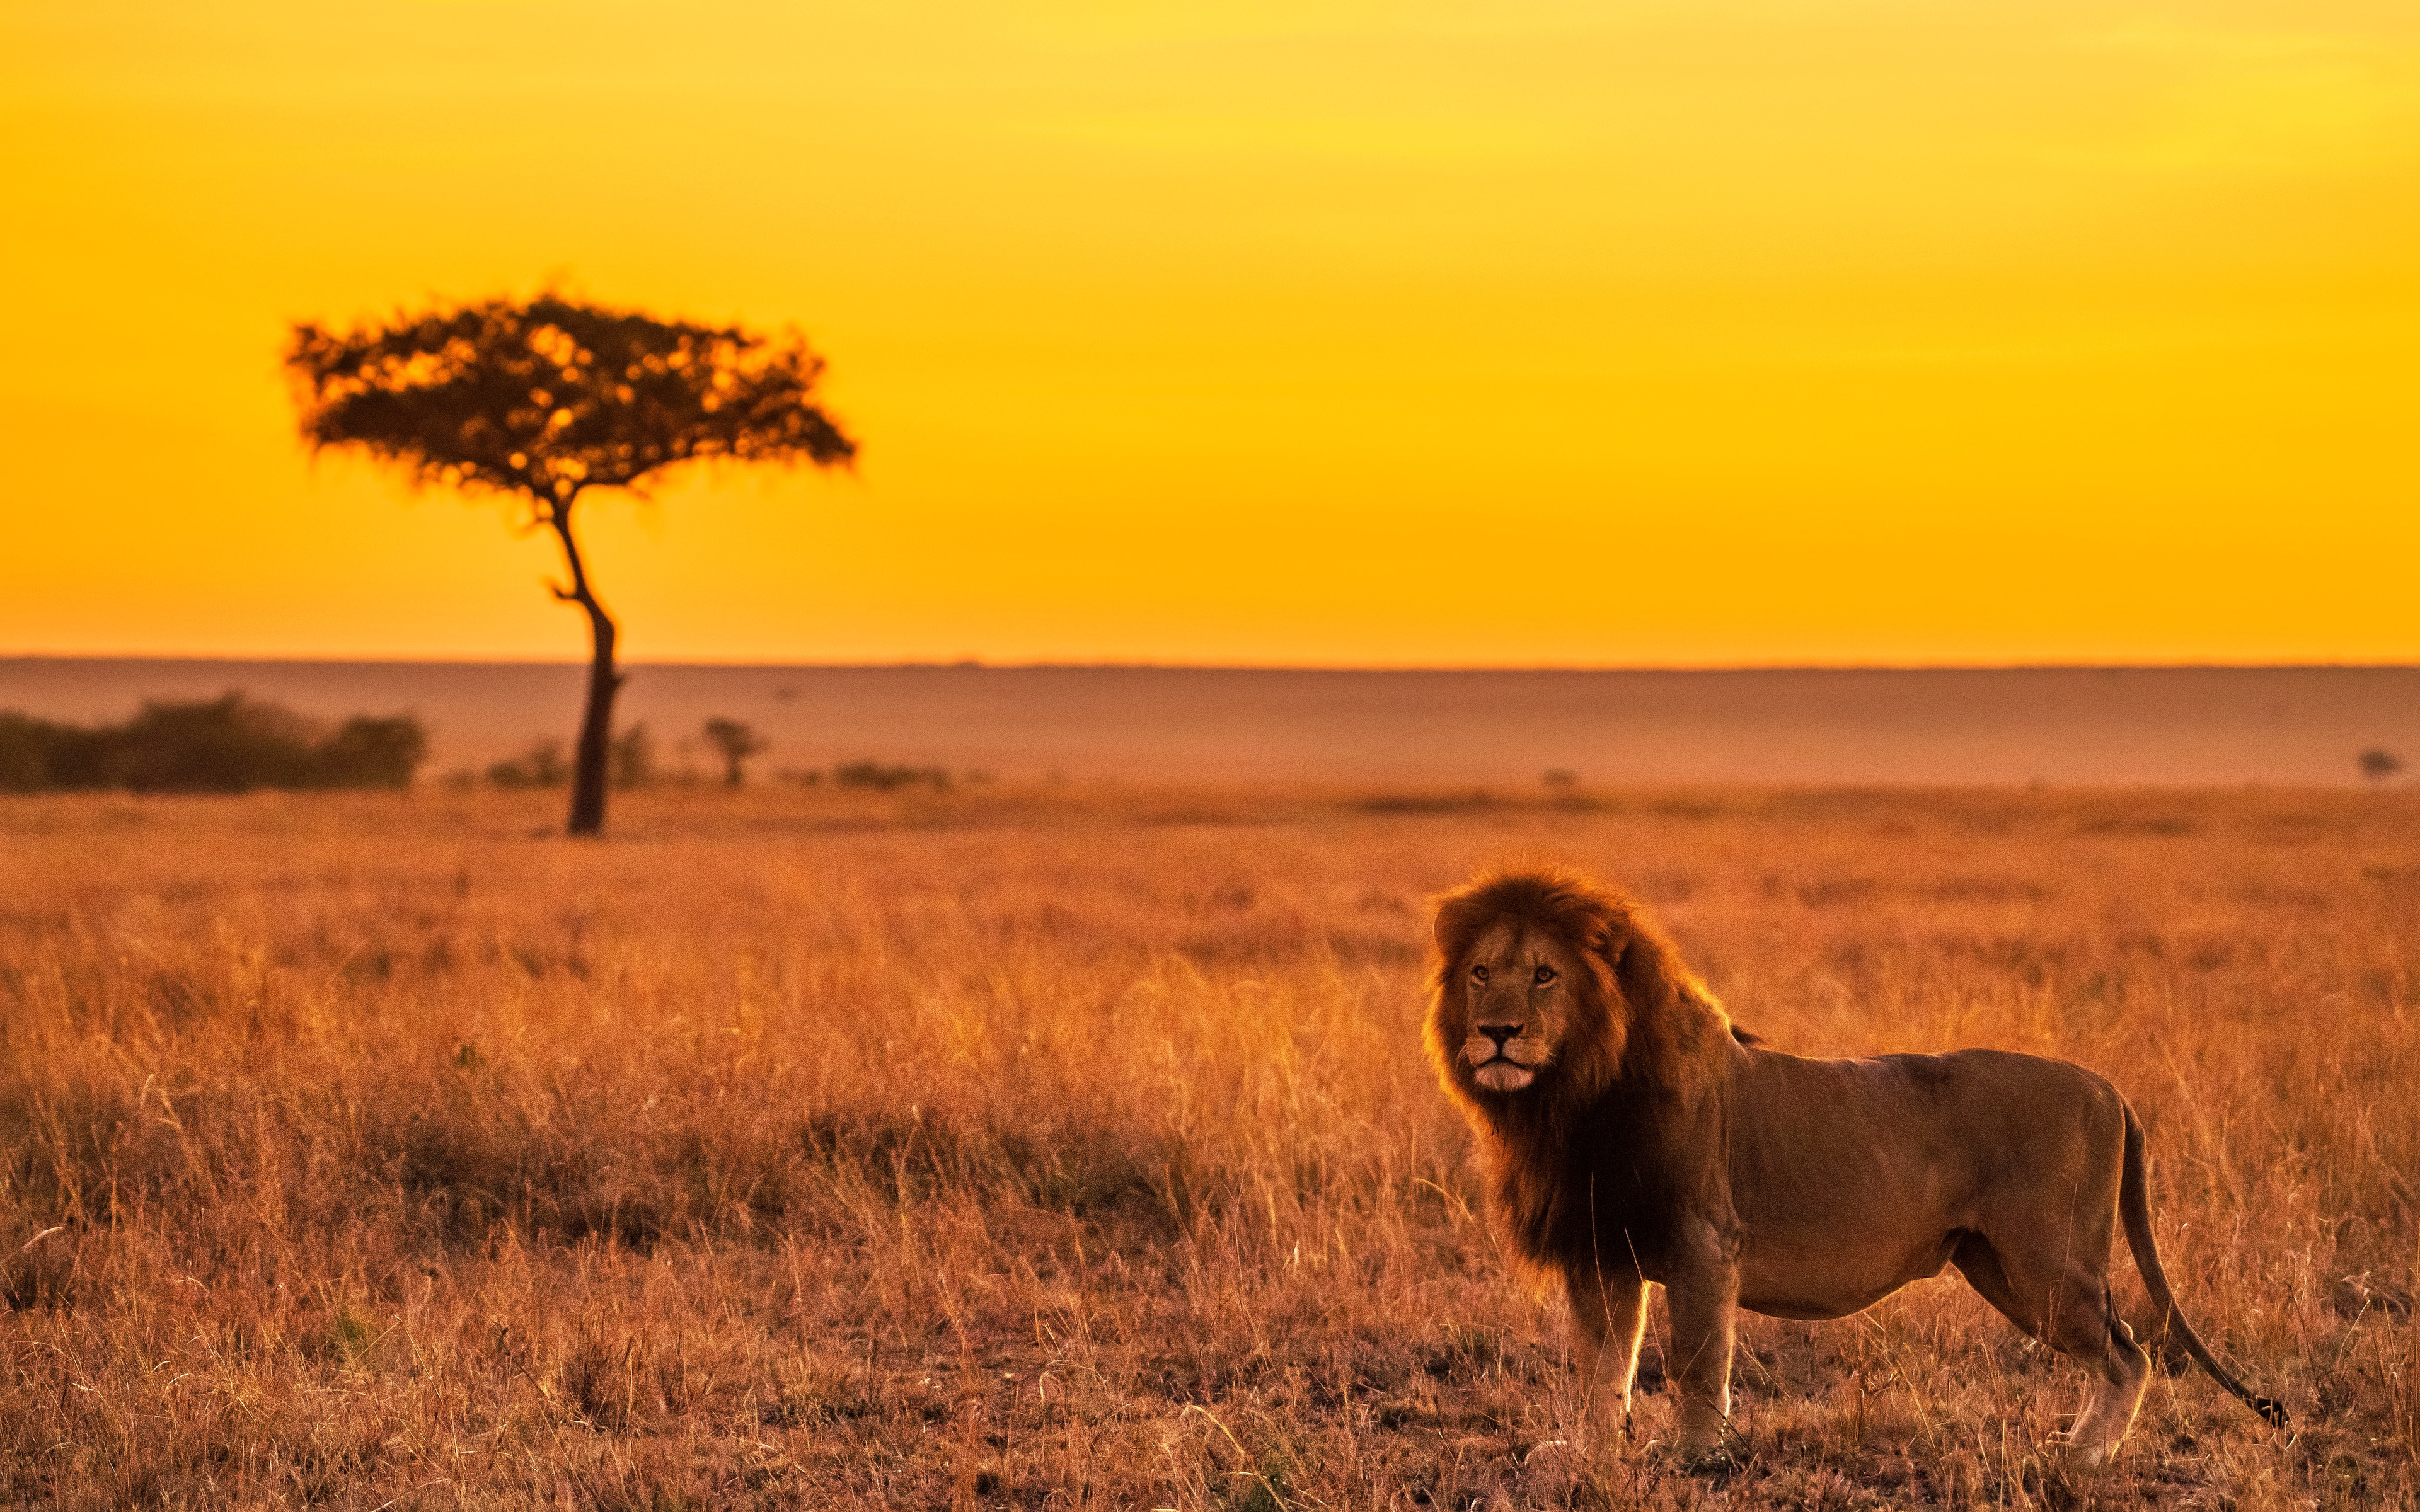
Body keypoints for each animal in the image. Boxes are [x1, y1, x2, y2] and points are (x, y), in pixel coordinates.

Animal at [1423, 865, 2285, 1468]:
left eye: (1545, 975)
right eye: (1480, 973)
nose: (1497, 1033)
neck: (1571, 1099)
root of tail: (2106, 1085)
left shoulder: (1705, 1241)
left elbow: (1699, 1360)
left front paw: (1697, 1457)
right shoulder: (1602, 1249)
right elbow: (1604, 1364)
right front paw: (1594, 1454)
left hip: (2047, 1259)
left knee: (2128, 1352)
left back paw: (2082, 1461)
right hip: (1999, 1268)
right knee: (2118, 1349)